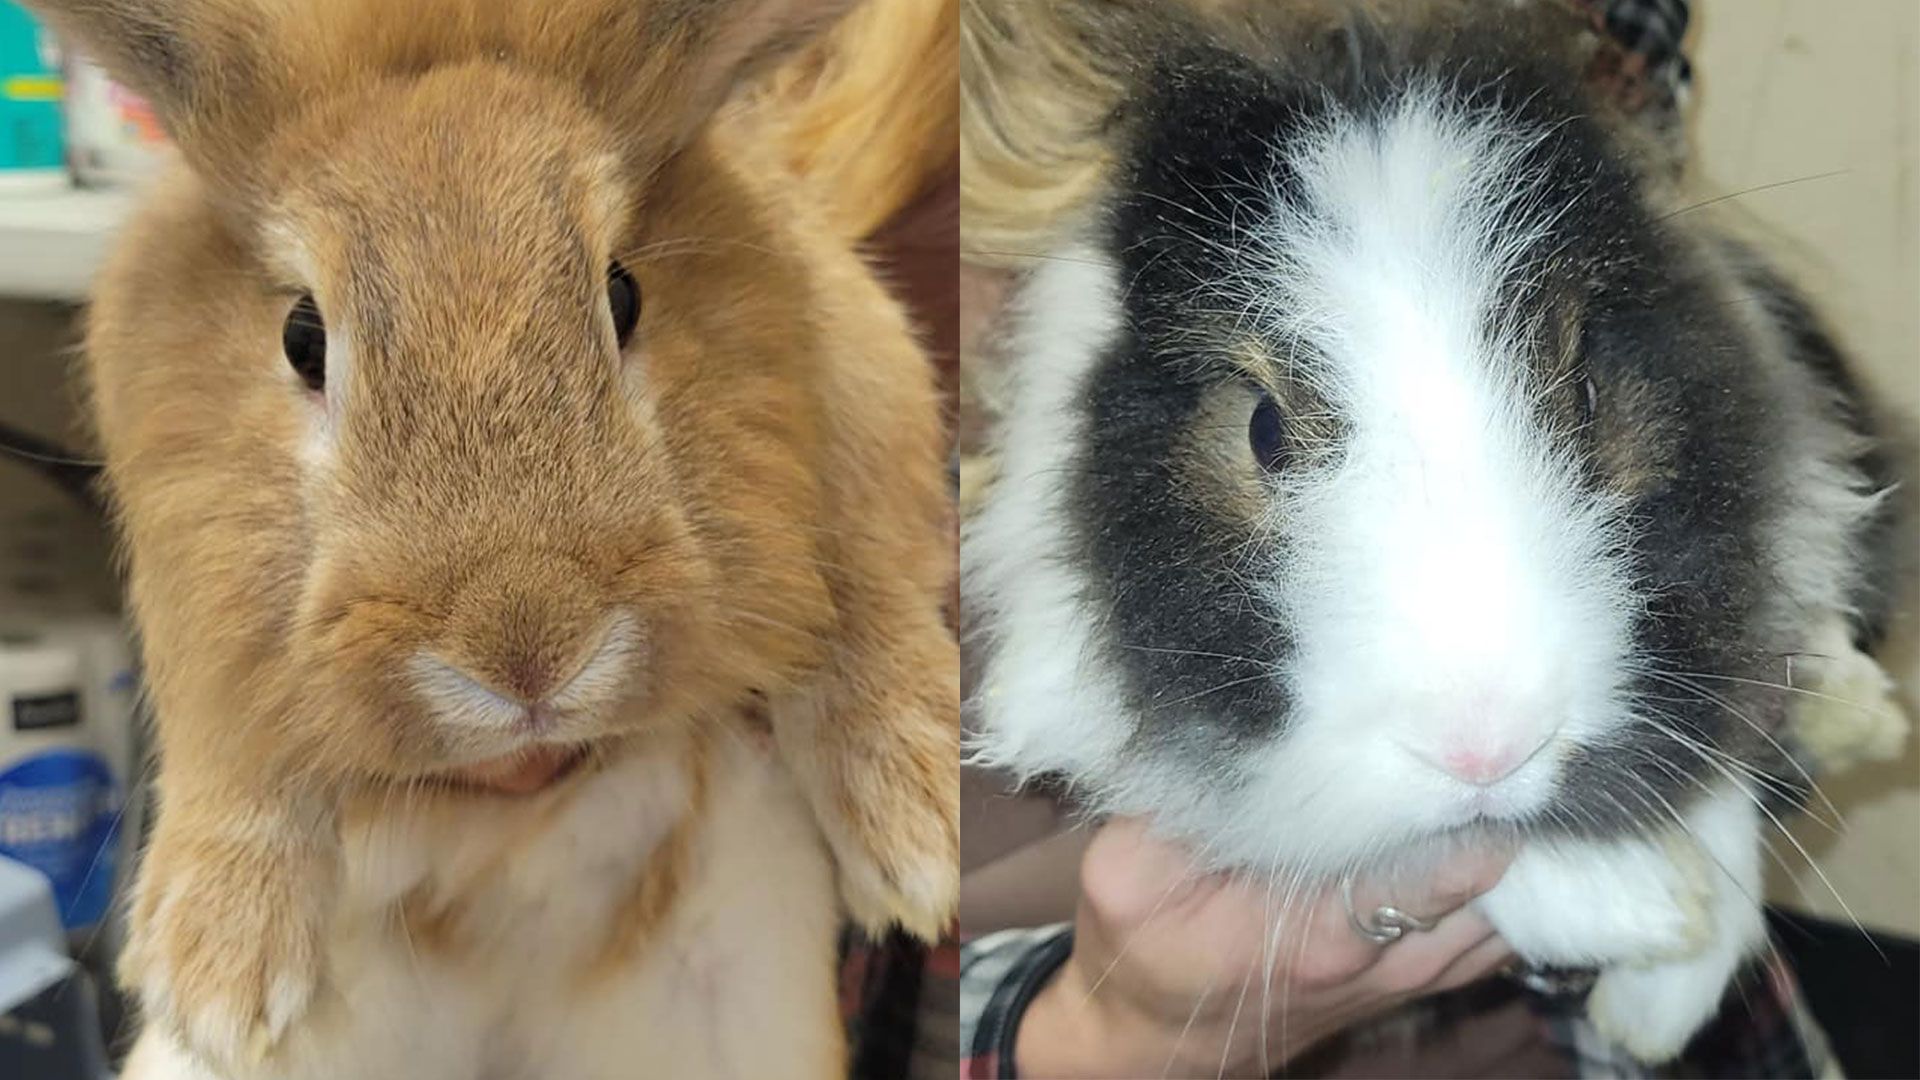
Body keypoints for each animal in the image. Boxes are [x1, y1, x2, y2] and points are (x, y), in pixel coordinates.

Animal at [24, 0, 959, 1076]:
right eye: (303, 337)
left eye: (624, 293)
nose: (529, 657)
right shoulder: (191, 573)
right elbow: (230, 721)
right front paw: (216, 975)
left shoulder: (862, 390)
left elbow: (873, 589)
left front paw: (923, 836)